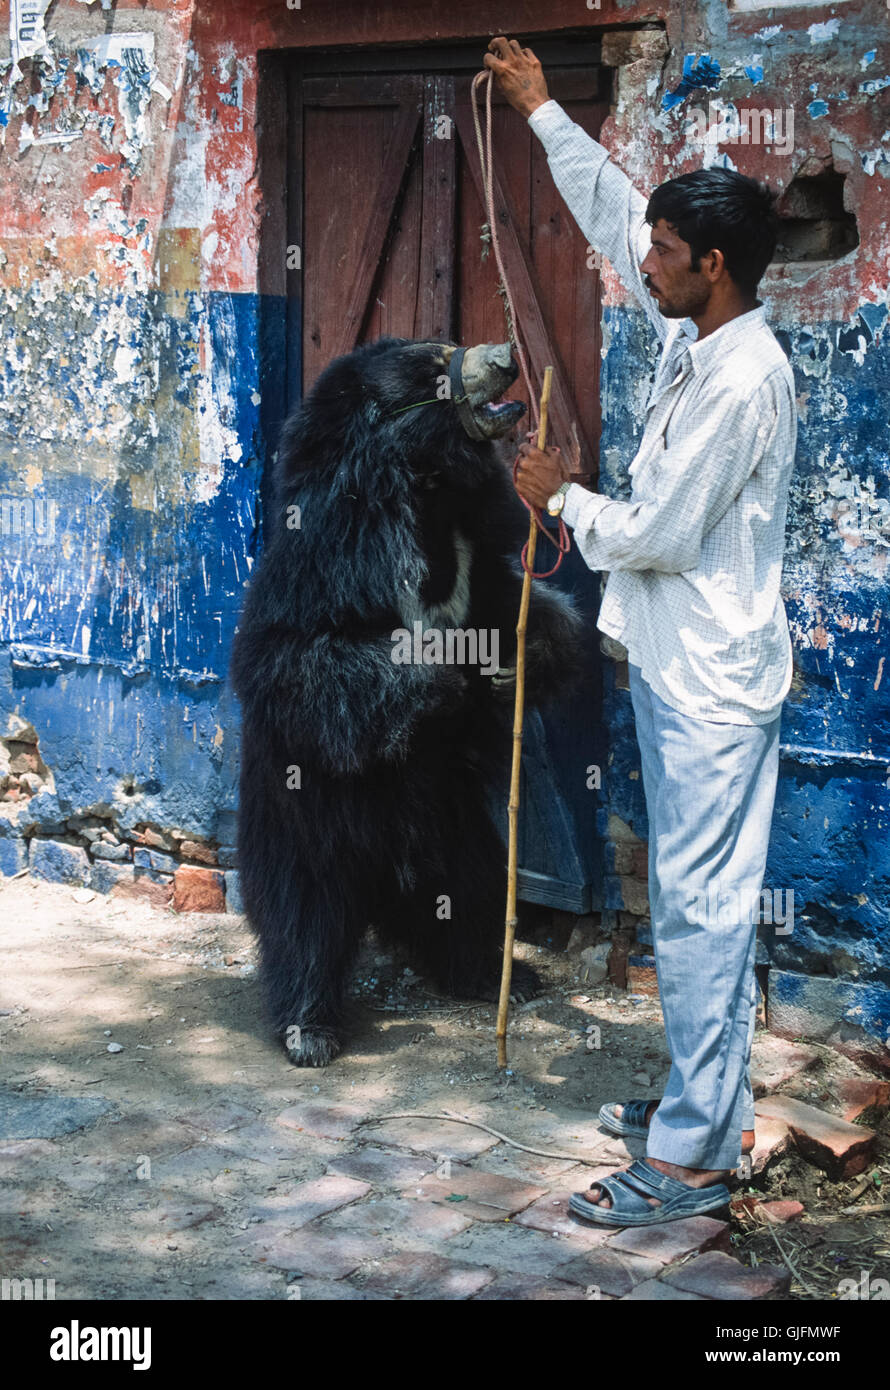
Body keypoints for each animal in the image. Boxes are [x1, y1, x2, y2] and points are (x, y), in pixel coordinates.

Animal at [229, 337, 583, 1066]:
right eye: (435, 365)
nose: (507, 355)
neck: (426, 486)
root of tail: (382, 882)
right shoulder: (331, 552)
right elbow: (296, 656)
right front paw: (440, 674)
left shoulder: (477, 542)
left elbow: (511, 599)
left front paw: (519, 663)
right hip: (305, 821)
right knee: (304, 917)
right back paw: (310, 1028)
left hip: (454, 823)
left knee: (468, 890)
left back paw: (499, 973)